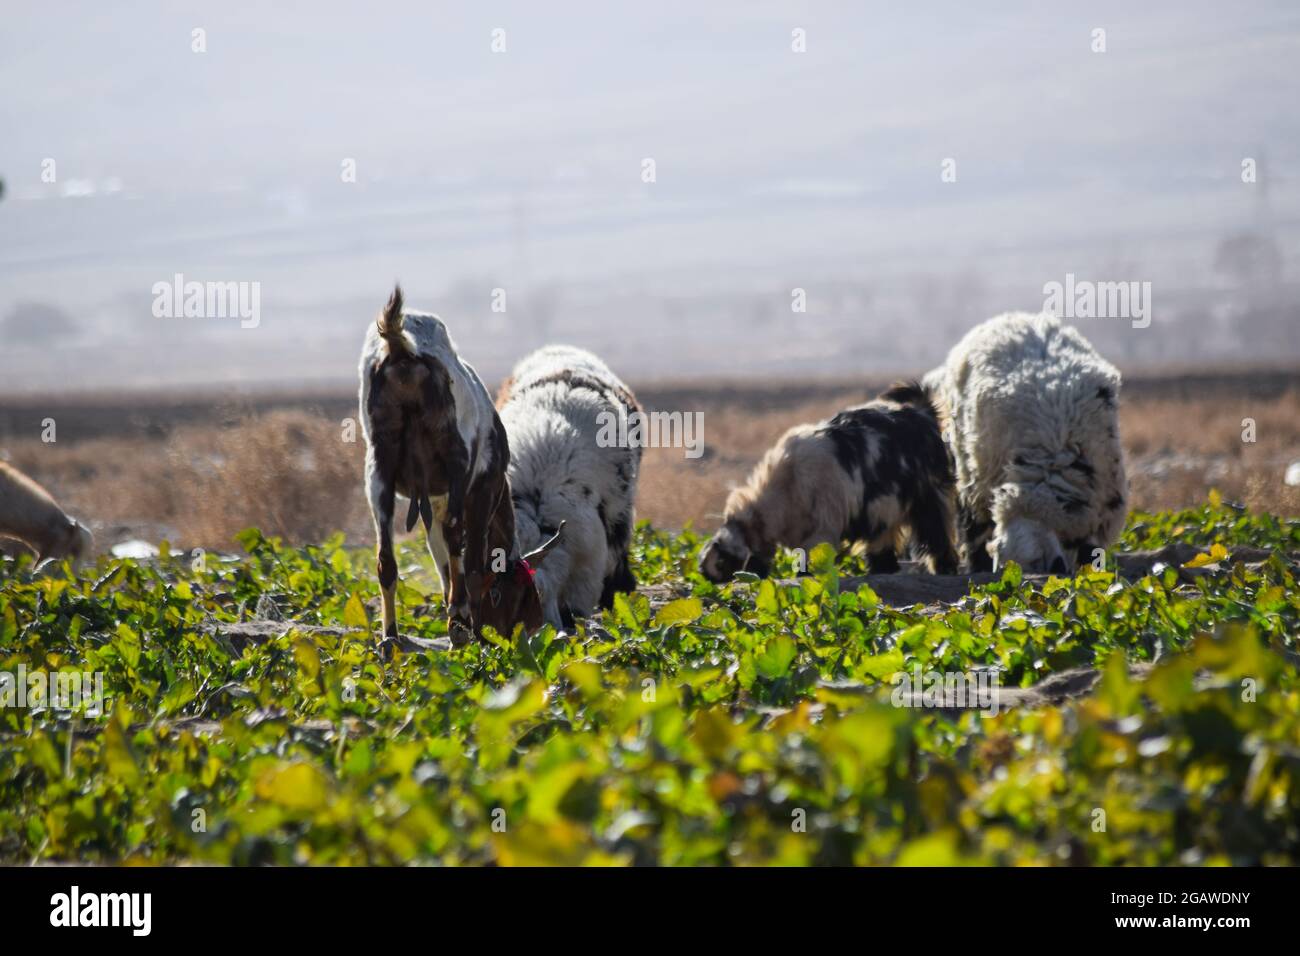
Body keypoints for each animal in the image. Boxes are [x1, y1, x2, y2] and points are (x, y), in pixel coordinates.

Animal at [358, 285, 562, 646]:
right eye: (516, 596)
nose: (517, 636)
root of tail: (402, 349)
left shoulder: (432, 502)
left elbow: (439, 556)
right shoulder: (481, 488)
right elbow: (473, 563)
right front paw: (469, 626)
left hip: (379, 473)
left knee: (386, 559)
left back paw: (391, 639)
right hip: (458, 463)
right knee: (458, 541)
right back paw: (459, 618)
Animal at [698, 382, 959, 582]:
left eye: (721, 562)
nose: (709, 580)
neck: (786, 485)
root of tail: (923, 412)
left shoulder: (824, 523)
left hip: (931, 493)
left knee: (937, 531)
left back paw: (945, 567)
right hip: (885, 506)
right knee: (883, 539)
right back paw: (882, 569)